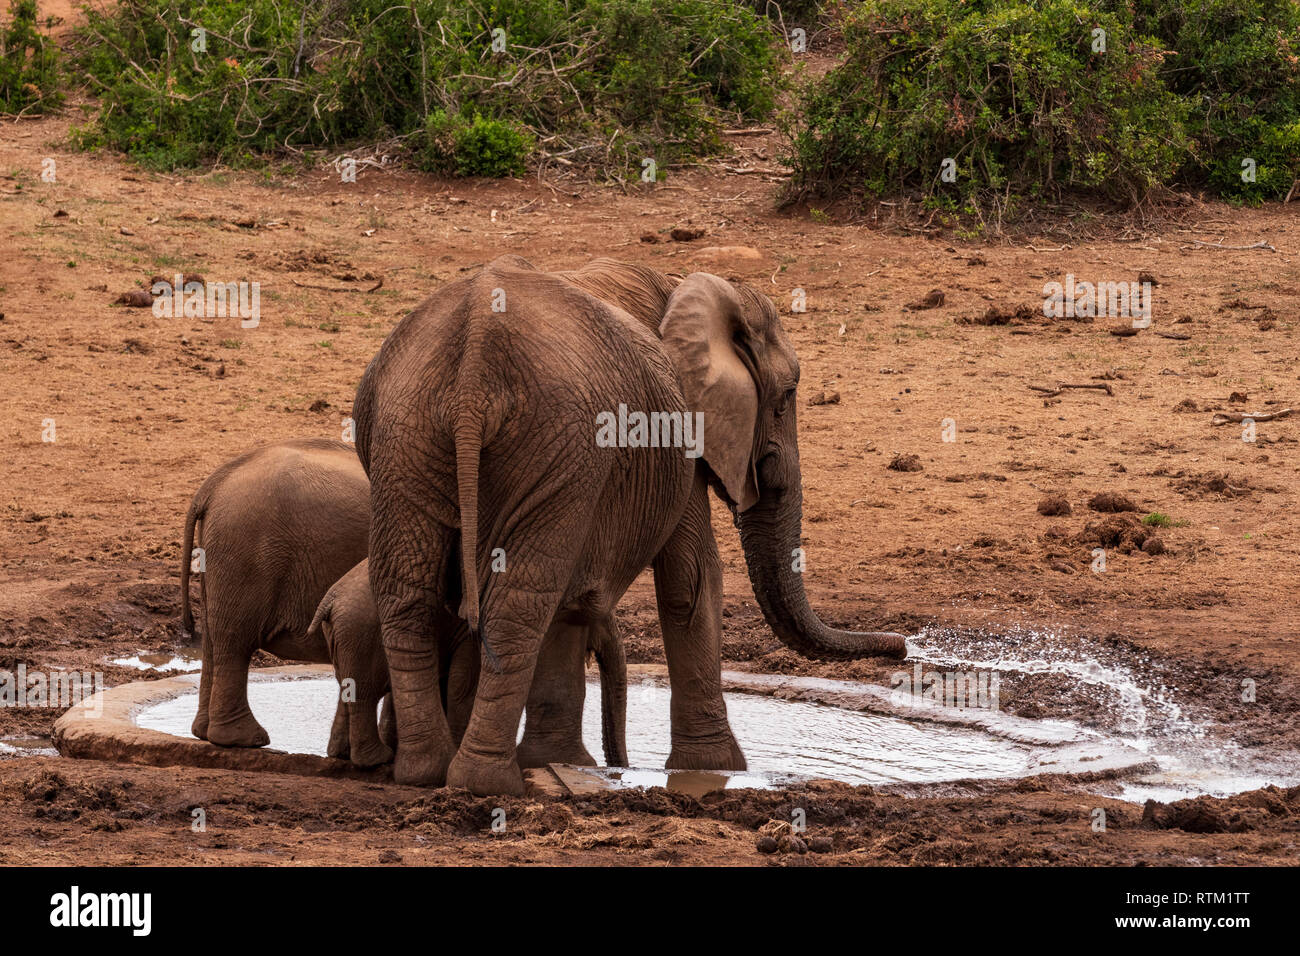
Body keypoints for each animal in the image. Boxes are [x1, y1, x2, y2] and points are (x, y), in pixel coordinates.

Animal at [307, 558, 628, 769]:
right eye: (594, 618)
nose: (620, 769)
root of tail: (330, 600)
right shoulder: (471, 634)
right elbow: (463, 684)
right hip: (358, 633)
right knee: (363, 693)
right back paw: (377, 759)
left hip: (347, 636)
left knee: (350, 689)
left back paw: (345, 755)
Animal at [352, 255, 908, 796]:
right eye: (787, 395)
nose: (902, 648)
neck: (686, 287)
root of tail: (474, 361)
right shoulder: (675, 430)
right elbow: (692, 577)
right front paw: (717, 769)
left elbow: (577, 596)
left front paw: (561, 763)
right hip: (555, 444)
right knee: (519, 600)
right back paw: (486, 783)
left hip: (406, 433)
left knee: (408, 594)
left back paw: (424, 771)